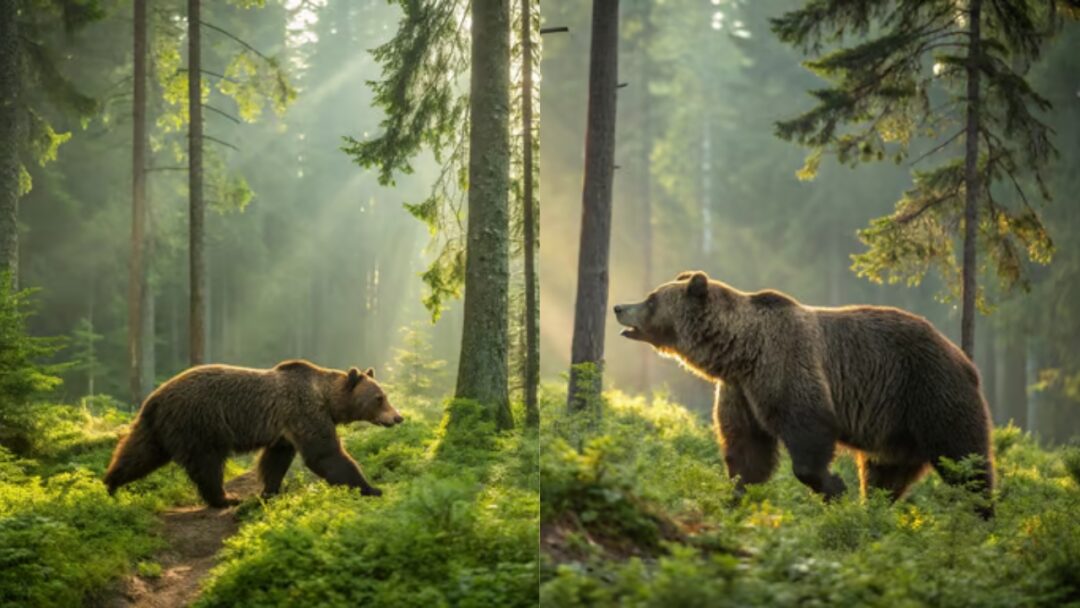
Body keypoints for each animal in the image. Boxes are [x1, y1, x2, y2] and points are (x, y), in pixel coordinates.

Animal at [104, 359, 403, 508]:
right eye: (379, 398)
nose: (398, 417)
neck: (327, 399)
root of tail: (154, 396)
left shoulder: (285, 429)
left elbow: (276, 460)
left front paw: (270, 490)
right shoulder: (304, 410)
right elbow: (325, 454)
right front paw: (372, 488)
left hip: (157, 428)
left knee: (138, 454)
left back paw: (110, 484)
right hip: (200, 422)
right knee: (208, 465)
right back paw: (224, 498)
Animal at [614, 271, 994, 517]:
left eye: (651, 298)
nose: (619, 306)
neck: (740, 352)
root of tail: (966, 361)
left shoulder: (787, 367)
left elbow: (807, 434)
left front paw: (834, 489)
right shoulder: (742, 393)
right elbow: (747, 452)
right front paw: (734, 500)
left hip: (929, 392)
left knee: (966, 461)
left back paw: (982, 517)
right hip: (896, 431)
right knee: (884, 476)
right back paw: (872, 513)